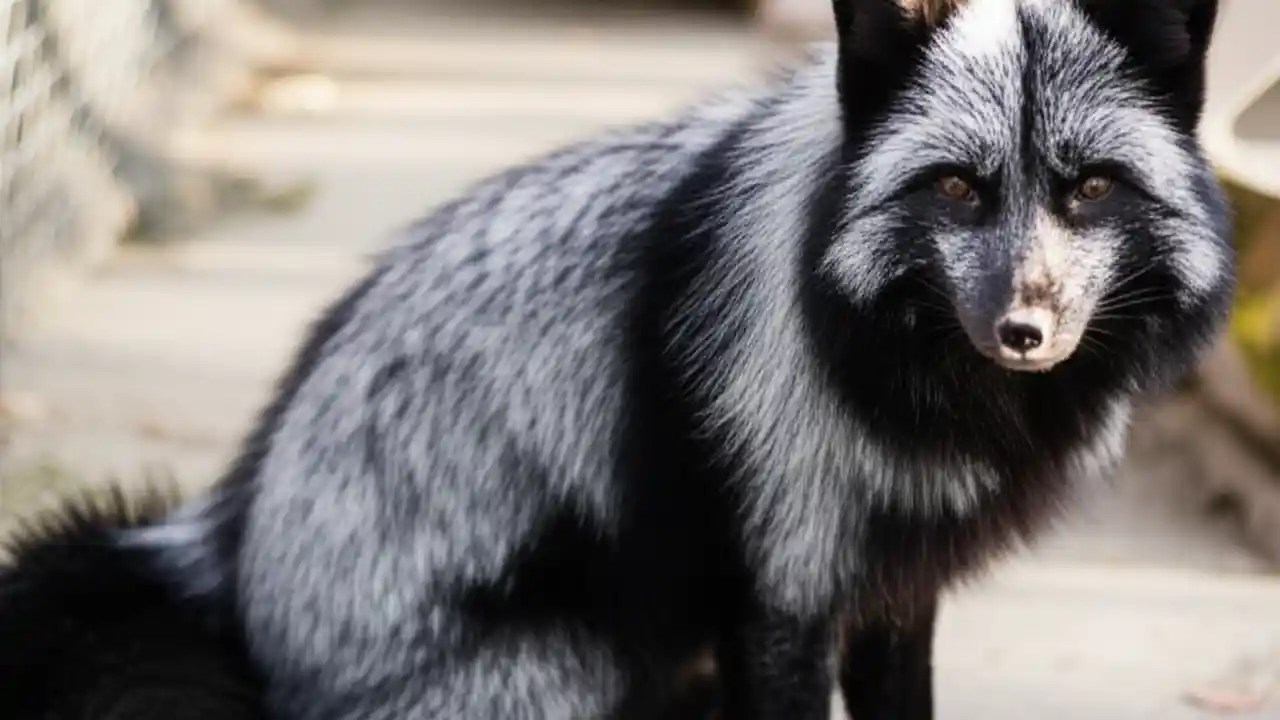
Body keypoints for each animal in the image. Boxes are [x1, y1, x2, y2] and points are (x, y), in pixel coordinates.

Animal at [0, 0, 1234, 718]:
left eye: (1089, 187)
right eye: (956, 187)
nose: (1023, 330)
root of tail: (220, 556)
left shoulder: (894, 586)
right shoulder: (780, 591)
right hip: (571, 656)